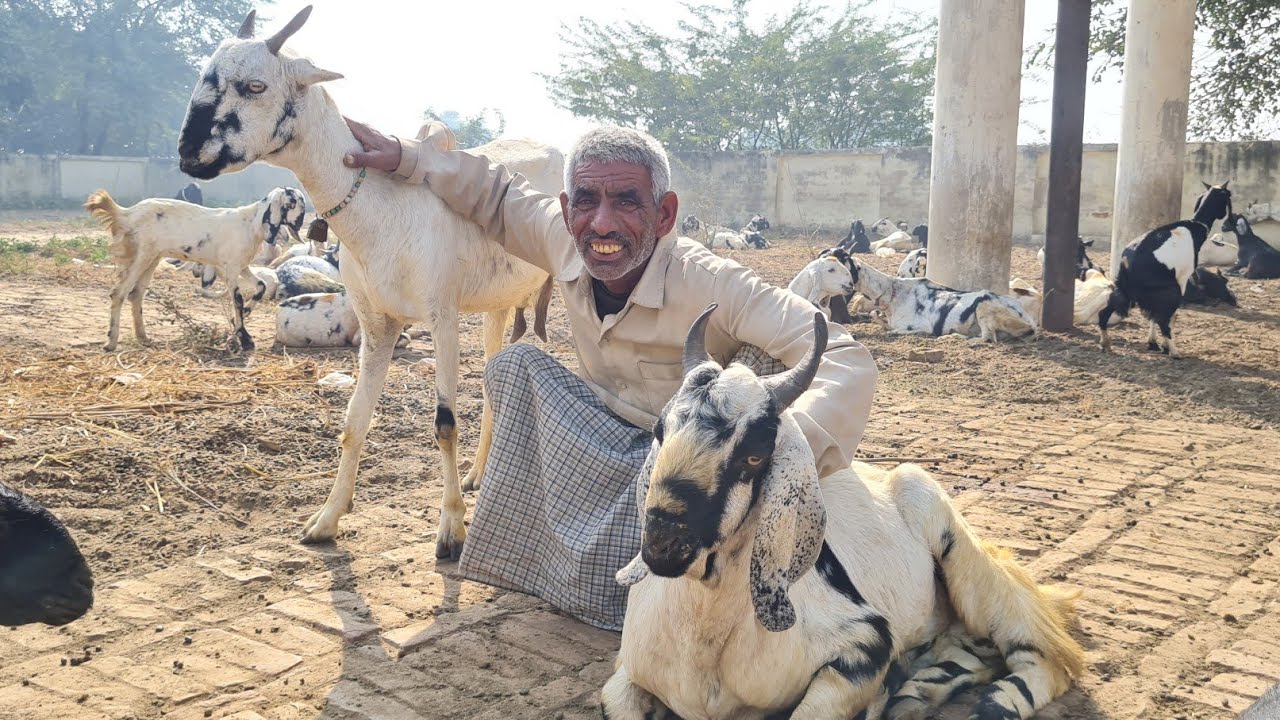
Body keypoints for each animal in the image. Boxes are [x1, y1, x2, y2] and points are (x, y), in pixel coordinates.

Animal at [85, 187, 306, 352]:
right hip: (142, 255)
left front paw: (244, 317)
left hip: (153, 258)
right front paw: (245, 339)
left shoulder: (240, 266)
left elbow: (260, 286)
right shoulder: (231, 267)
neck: (250, 223)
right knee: (119, 292)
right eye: (293, 204)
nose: (300, 224)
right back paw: (111, 342)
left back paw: (143, 337)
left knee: (136, 294)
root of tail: (126, 213)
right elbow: (237, 298)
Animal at [177, 7, 560, 554]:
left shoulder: (442, 316)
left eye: (254, 85)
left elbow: (445, 423)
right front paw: (326, 519)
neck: (382, 208)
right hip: (497, 303)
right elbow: (354, 420)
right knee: (493, 381)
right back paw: (476, 476)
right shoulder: (377, 322)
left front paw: (451, 530)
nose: (189, 154)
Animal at [603, 306, 1083, 720]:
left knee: (1044, 654)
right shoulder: (625, 674)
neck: (704, 642)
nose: (662, 545)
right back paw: (911, 695)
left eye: (754, 456)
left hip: (959, 551)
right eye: (660, 430)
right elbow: (614, 699)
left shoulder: (865, 645)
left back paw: (990, 705)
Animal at [848, 258, 1036, 342]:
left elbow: (896, 331)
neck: (894, 293)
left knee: (987, 338)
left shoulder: (923, 325)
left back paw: (953, 338)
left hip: (984, 305)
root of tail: (1030, 321)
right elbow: (876, 316)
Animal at [1098, 182, 1234, 357]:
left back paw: (1106, 343)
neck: (1195, 229)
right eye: (1227, 196)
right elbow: (1171, 316)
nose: (1226, 222)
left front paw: (1153, 343)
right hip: (1168, 289)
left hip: (1125, 287)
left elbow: (1152, 316)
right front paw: (1164, 345)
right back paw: (1175, 351)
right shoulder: (1182, 279)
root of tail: (1129, 260)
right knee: (1164, 318)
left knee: (1106, 310)